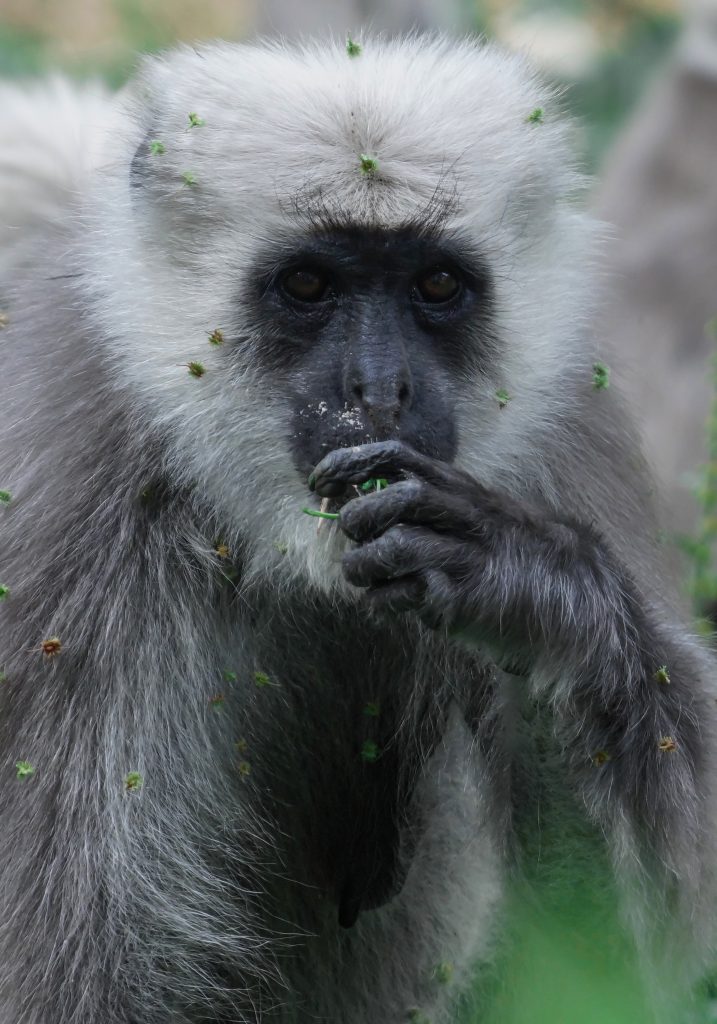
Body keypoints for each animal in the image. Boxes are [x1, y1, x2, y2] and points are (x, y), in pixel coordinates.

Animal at [0, 35, 716, 1024]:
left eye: (436, 284)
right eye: (308, 283)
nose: (378, 391)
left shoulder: (562, 429)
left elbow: (605, 971)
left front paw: (533, 597)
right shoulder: (71, 508)